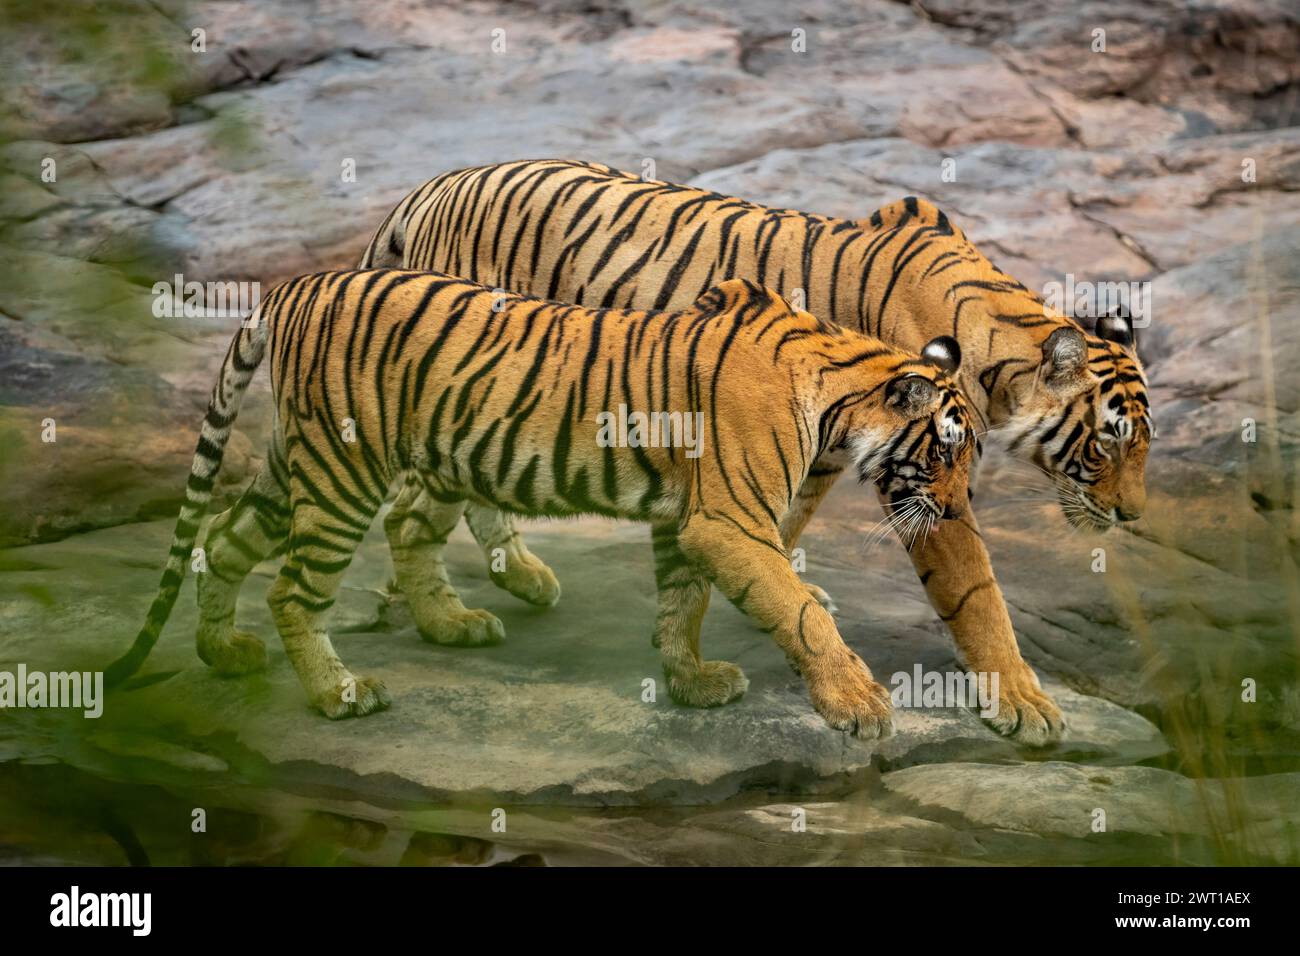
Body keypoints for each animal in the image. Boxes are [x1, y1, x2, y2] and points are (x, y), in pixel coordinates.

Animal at [105, 272, 975, 733]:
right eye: (946, 451)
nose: (958, 511)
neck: (838, 392)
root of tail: (291, 287)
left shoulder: (685, 518)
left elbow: (683, 602)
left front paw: (689, 680)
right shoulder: (727, 521)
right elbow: (798, 611)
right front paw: (858, 703)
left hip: (299, 463)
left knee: (223, 540)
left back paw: (228, 650)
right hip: (342, 471)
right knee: (292, 588)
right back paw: (339, 694)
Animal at [358, 158, 1155, 746]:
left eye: (1146, 445)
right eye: (1108, 439)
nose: (1134, 516)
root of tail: (423, 190)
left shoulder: (826, 445)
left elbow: (783, 521)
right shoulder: (923, 477)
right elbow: (977, 591)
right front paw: (1023, 702)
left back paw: (520, 579)